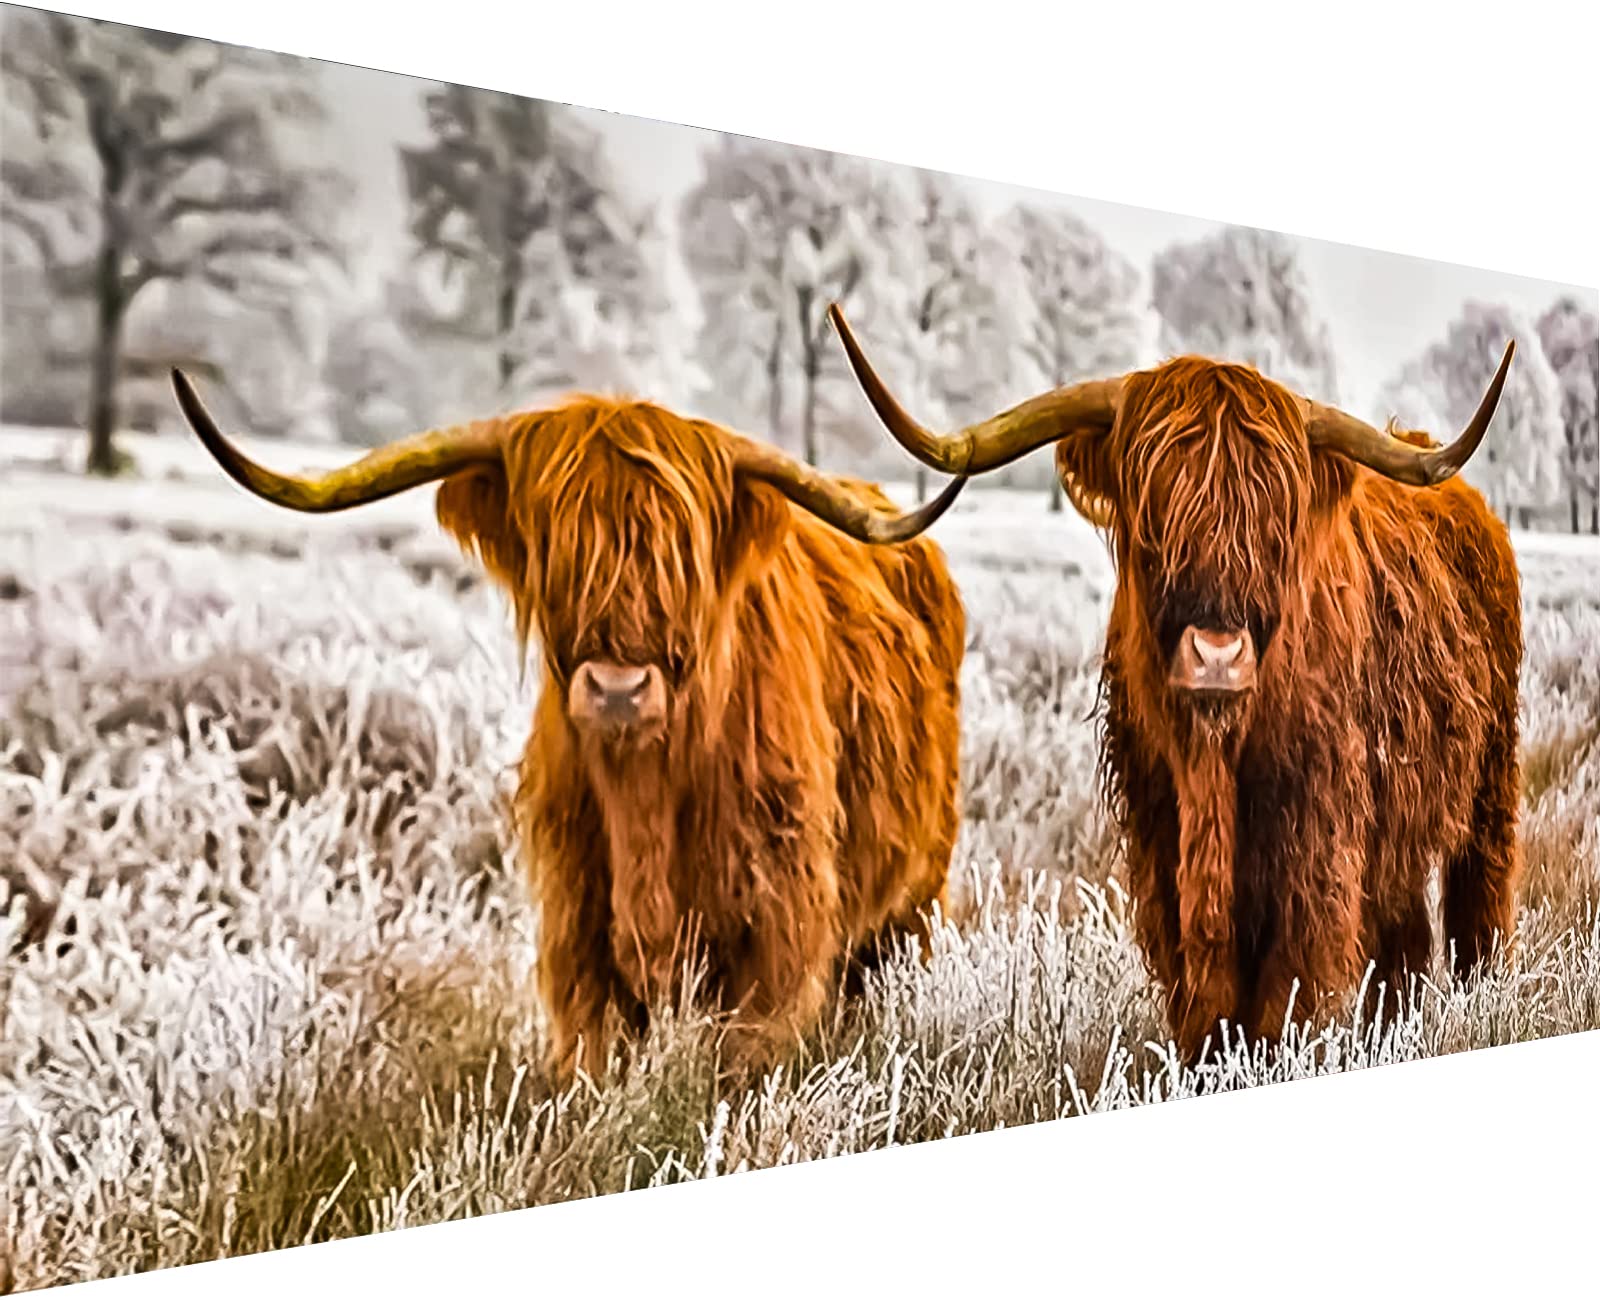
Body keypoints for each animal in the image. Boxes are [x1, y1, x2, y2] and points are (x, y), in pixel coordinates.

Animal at [169, 372, 968, 1082]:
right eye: (553, 546)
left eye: (683, 553)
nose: (618, 689)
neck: (645, 793)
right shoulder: (576, 933)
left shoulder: (777, 927)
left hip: (915, 896)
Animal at [826, 303, 1523, 1062]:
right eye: (1153, 514)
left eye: (1276, 523)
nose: (1218, 655)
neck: (1213, 763)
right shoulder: (1160, 838)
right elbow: (1203, 992)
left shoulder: (1316, 843)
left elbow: (1286, 987)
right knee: (1405, 935)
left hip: (1491, 780)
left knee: (1477, 903)